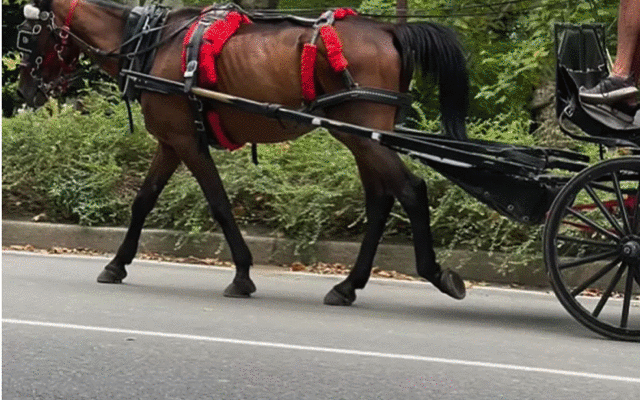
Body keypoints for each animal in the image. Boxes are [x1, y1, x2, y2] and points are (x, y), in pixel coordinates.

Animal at [17, 0, 470, 305]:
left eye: (27, 34)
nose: (23, 90)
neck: (150, 45)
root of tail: (389, 31)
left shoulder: (187, 141)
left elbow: (218, 204)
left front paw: (242, 274)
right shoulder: (170, 142)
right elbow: (143, 201)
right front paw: (117, 264)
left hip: (363, 133)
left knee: (410, 189)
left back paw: (434, 272)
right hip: (362, 136)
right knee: (379, 200)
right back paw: (347, 286)